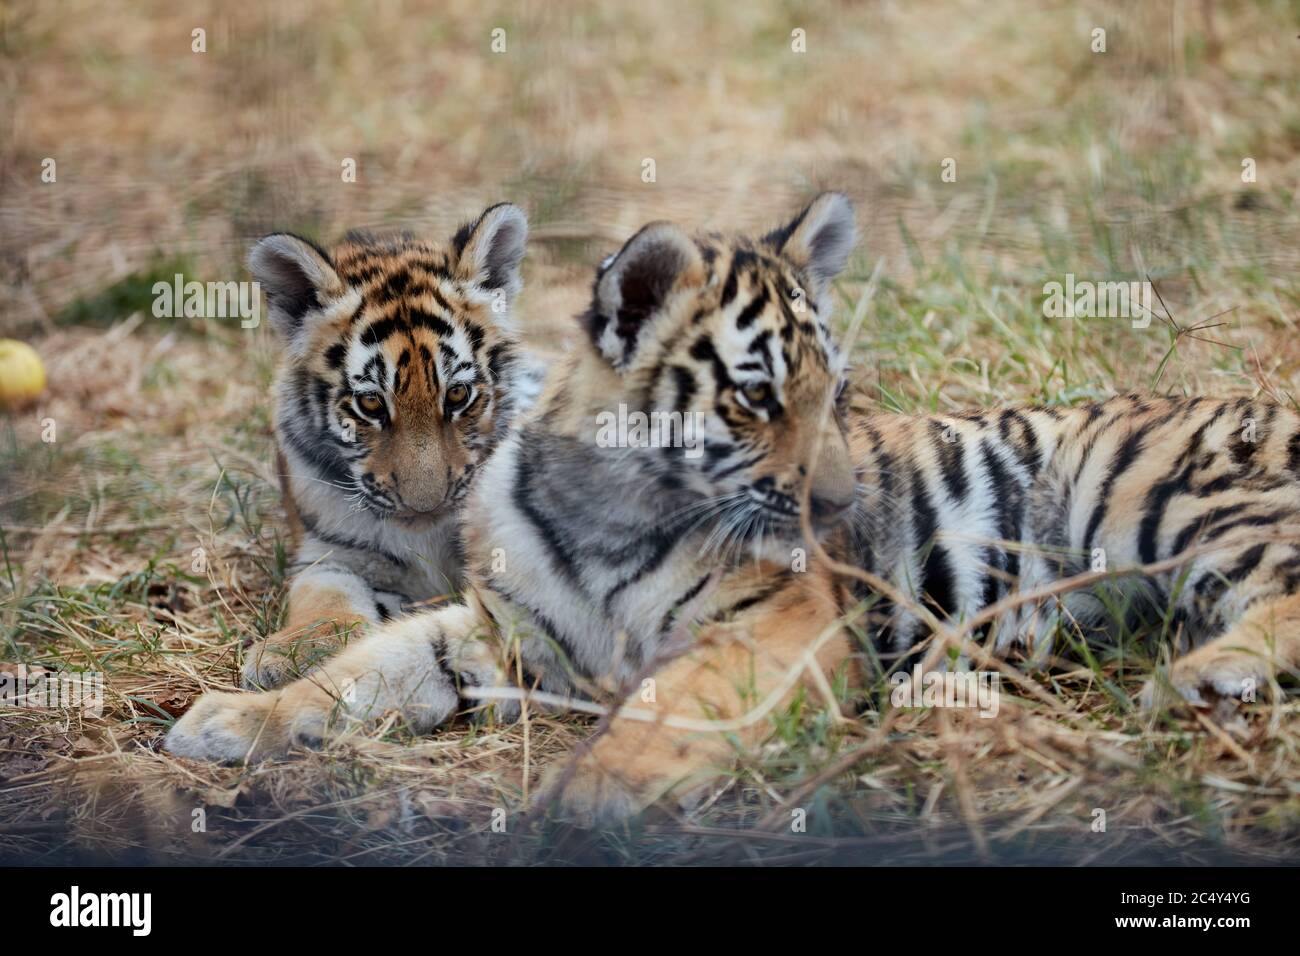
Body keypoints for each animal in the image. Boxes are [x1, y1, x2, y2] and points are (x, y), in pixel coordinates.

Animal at [241, 202, 538, 689]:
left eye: (458, 395)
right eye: (370, 403)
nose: (425, 505)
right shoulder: (331, 554)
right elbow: (321, 598)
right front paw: (288, 654)